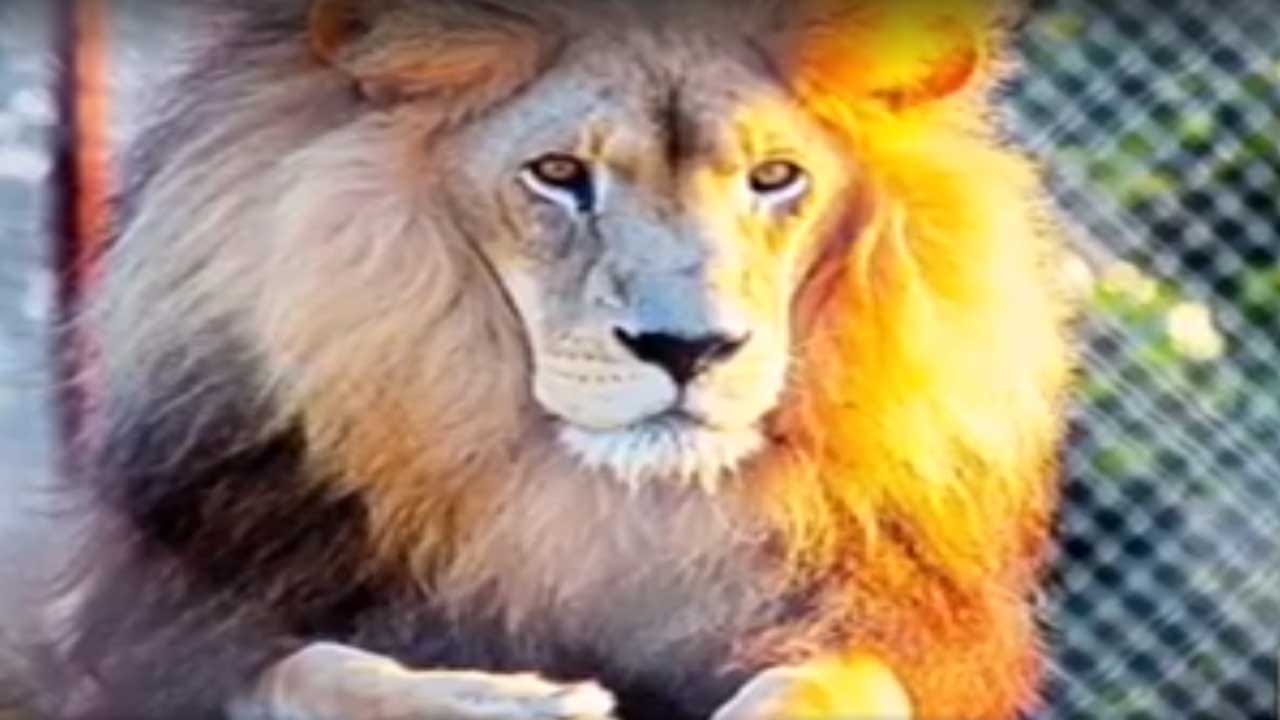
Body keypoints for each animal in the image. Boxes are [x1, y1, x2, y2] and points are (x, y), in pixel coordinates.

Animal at [48, 1, 1072, 718]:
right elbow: (315, 669)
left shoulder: (899, 620)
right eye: (558, 174)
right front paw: (503, 701)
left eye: (775, 178)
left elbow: (837, 678)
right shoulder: (175, 618)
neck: (594, 502)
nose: (688, 347)